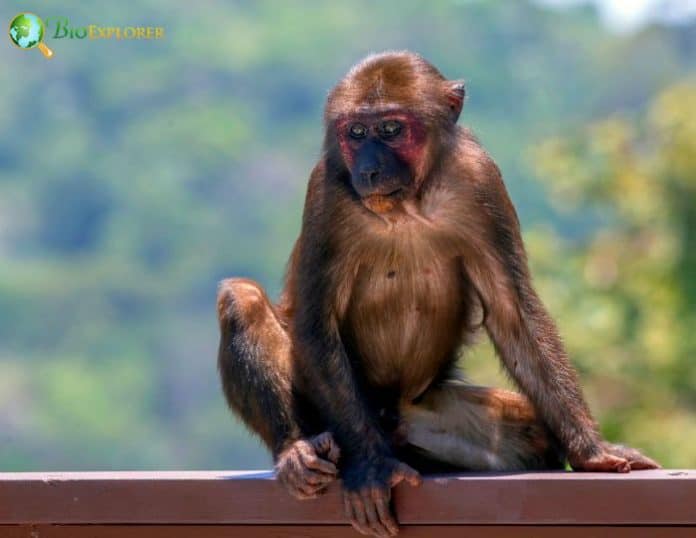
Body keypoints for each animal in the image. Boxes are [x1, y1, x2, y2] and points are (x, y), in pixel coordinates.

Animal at [217, 51, 659, 537]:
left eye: (391, 129)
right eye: (357, 133)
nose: (368, 169)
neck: (409, 204)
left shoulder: (480, 178)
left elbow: (513, 311)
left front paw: (591, 450)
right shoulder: (327, 191)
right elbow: (315, 323)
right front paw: (371, 467)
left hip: (418, 414)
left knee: (533, 434)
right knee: (242, 300)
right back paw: (298, 448)